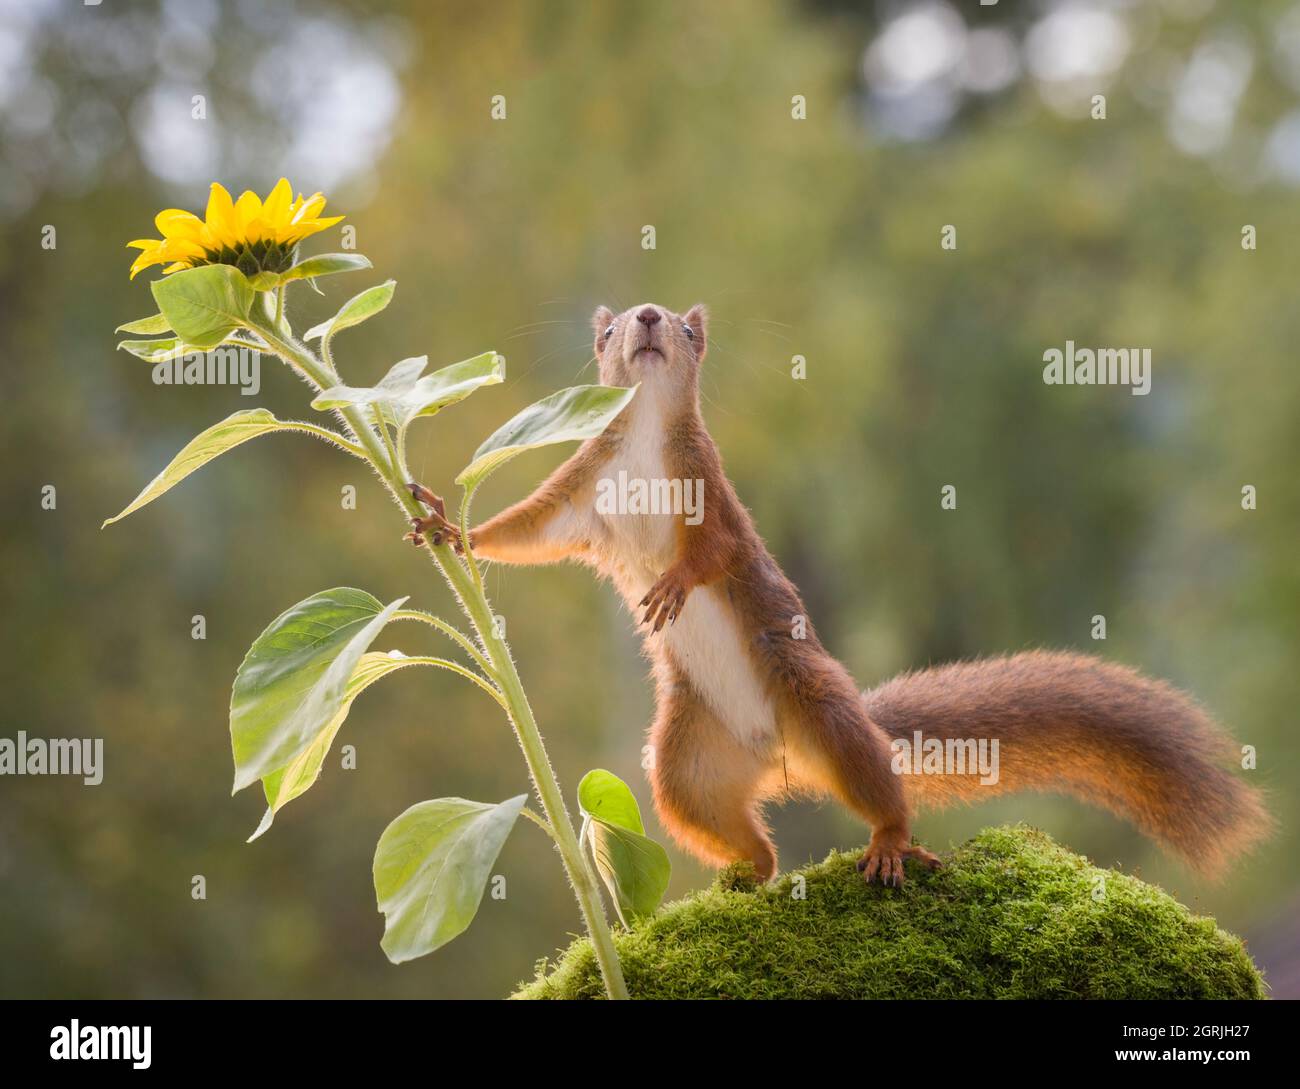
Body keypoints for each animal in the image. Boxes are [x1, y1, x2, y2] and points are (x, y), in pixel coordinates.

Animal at [407, 302, 1270, 885]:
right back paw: (748, 869)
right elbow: (526, 530)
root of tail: (780, 758)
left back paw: (888, 841)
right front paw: (450, 529)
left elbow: (717, 552)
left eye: (683, 325)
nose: (649, 317)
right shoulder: (583, 490)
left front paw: (677, 582)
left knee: (883, 791)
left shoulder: (709, 490)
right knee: (737, 829)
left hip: (821, 704)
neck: (648, 433)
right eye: (614, 323)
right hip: (685, 763)